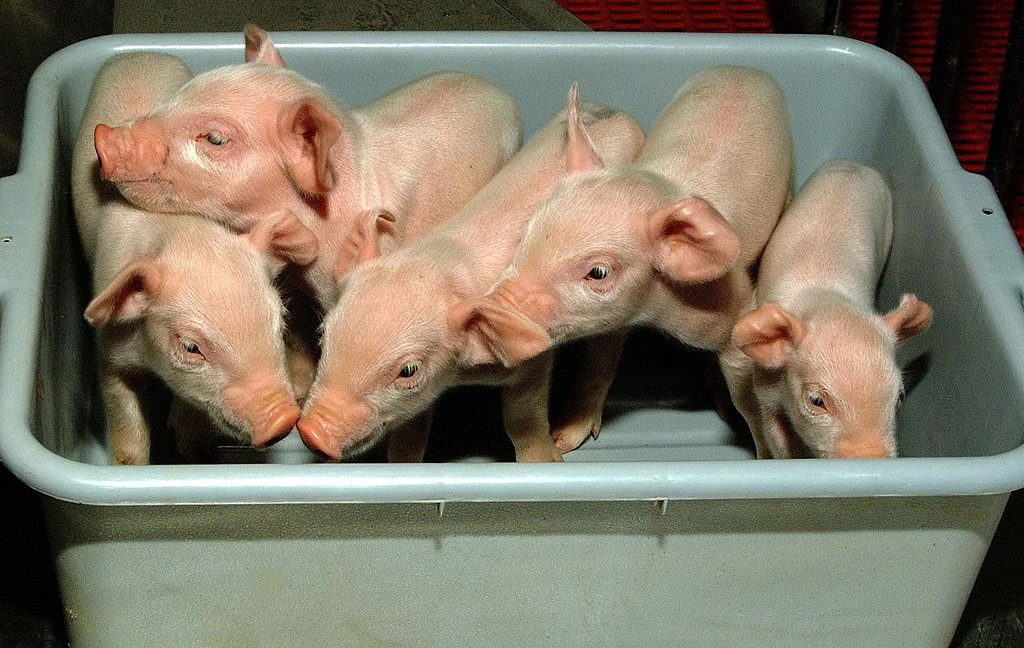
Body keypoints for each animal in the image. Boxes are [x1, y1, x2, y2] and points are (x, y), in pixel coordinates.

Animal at [73, 52, 317, 464]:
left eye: (279, 320)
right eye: (191, 347)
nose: (283, 419)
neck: (184, 236)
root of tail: (139, 53)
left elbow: (191, 416)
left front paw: (196, 452)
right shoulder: (108, 351)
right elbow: (125, 422)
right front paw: (130, 465)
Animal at [297, 88, 646, 462]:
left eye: (408, 371)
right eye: (323, 335)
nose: (311, 432)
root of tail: (620, 113)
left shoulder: (534, 364)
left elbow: (522, 417)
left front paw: (547, 459)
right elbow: (411, 430)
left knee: (605, 354)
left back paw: (568, 436)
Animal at [454, 67, 793, 451]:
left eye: (598, 272)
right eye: (530, 229)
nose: (494, 306)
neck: (656, 311)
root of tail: (748, 70)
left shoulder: (732, 310)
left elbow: (747, 396)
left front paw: (763, 450)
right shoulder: (612, 317)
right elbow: (599, 363)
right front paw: (564, 439)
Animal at [722, 160, 932, 459]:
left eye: (899, 396)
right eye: (816, 400)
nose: (871, 457)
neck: (826, 299)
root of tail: (852, 164)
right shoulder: (765, 389)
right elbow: (778, 439)